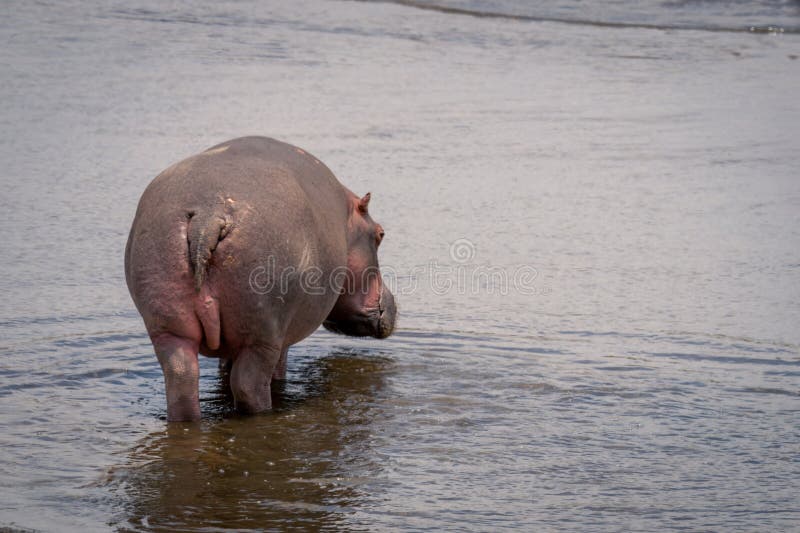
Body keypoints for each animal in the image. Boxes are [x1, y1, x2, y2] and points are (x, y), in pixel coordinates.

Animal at [125, 136, 397, 421]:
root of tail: (208, 214)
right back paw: (267, 412)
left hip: (167, 326)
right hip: (263, 331)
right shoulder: (281, 337)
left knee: (181, 379)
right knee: (249, 385)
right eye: (381, 234)